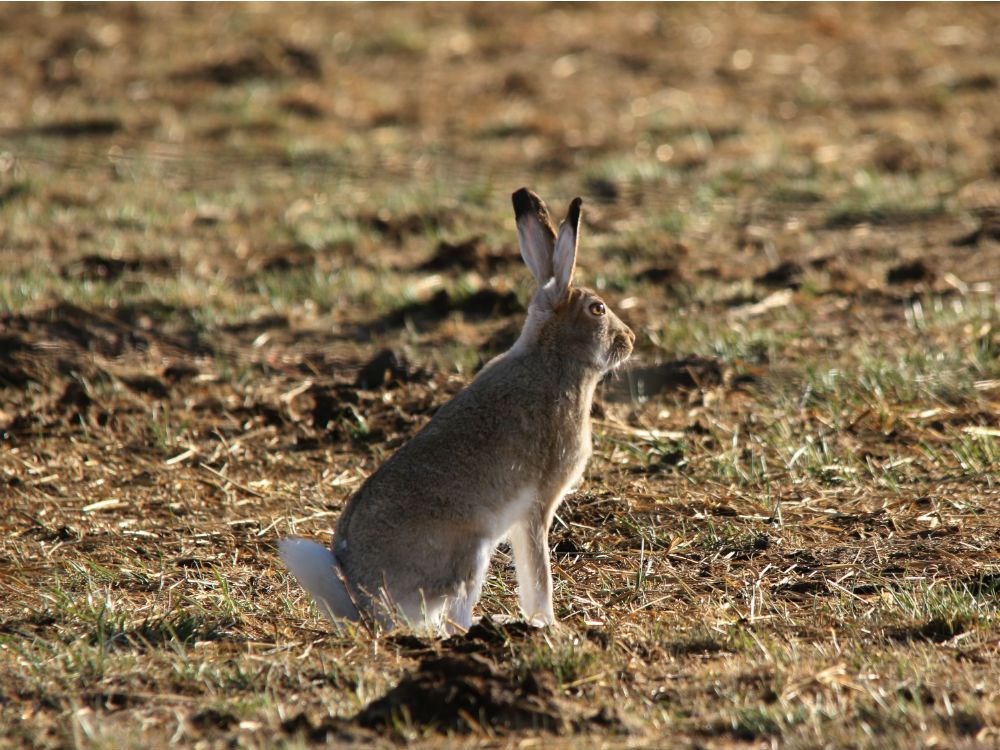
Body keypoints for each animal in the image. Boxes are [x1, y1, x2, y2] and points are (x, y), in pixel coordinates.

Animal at [279, 188, 635, 633]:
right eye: (597, 309)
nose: (631, 340)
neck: (552, 356)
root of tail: (365, 603)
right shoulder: (536, 506)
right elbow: (538, 576)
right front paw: (548, 623)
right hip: (471, 551)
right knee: (452, 620)